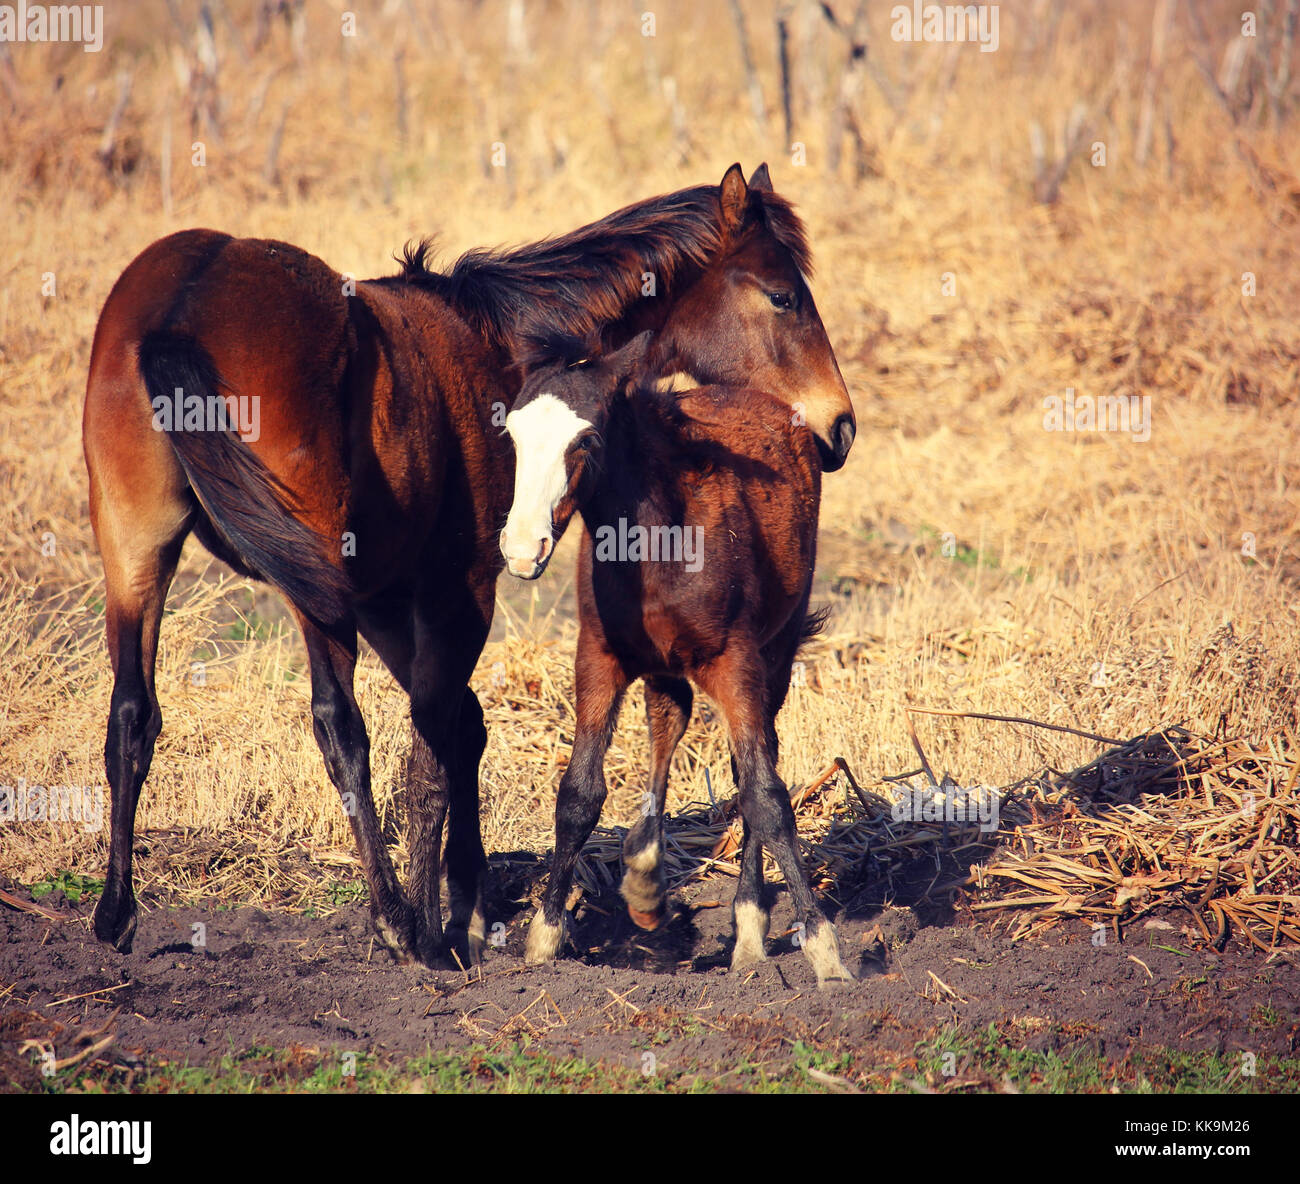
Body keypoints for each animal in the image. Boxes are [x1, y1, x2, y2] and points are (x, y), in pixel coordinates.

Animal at [501, 331, 855, 986]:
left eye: (586, 440)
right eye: (511, 436)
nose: (521, 548)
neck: (659, 537)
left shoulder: (736, 661)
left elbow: (766, 797)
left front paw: (824, 951)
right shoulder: (599, 658)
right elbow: (579, 794)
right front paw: (542, 938)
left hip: (775, 652)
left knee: (753, 764)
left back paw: (748, 928)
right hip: (666, 668)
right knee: (669, 726)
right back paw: (644, 878)